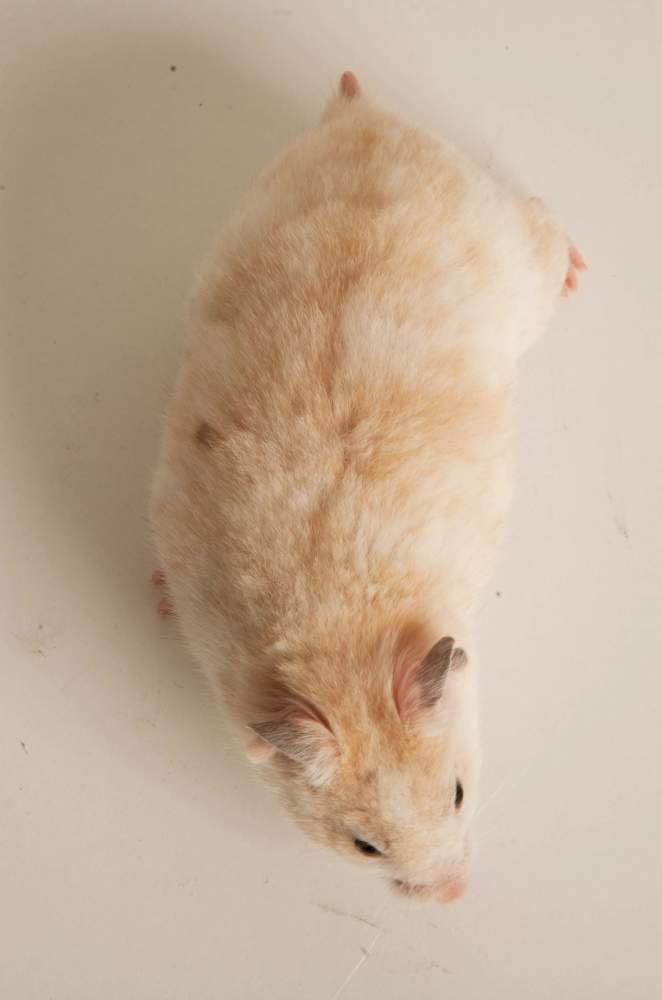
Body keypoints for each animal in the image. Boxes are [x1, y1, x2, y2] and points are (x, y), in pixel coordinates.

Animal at [150, 71, 584, 903]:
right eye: (363, 847)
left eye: (459, 794)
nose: (452, 895)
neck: (336, 630)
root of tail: (363, 115)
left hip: (515, 244)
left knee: (544, 229)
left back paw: (578, 266)